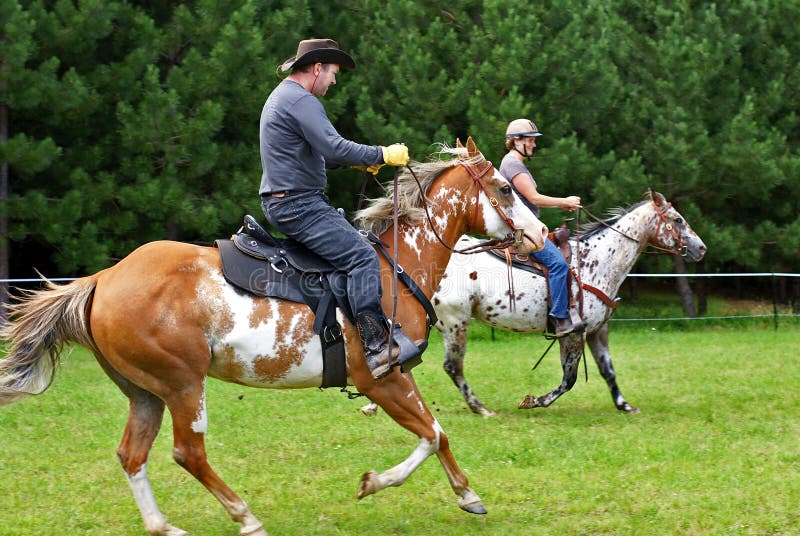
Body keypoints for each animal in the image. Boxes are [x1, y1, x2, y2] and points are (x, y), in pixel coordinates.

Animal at [0, 137, 547, 536]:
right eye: (504, 187)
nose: (540, 233)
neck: (394, 265)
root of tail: (104, 278)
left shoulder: (393, 379)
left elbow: (437, 435)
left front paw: (463, 494)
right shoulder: (381, 378)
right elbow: (432, 434)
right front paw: (385, 483)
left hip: (145, 392)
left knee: (133, 455)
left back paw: (162, 526)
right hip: (182, 385)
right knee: (188, 453)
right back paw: (245, 517)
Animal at [362, 191, 706, 418]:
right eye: (677, 219)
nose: (701, 248)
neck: (596, 260)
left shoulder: (597, 330)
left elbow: (608, 370)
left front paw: (624, 404)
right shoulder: (573, 332)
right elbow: (568, 380)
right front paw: (534, 401)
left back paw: (375, 403)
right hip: (455, 321)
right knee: (451, 366)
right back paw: (479, 407)